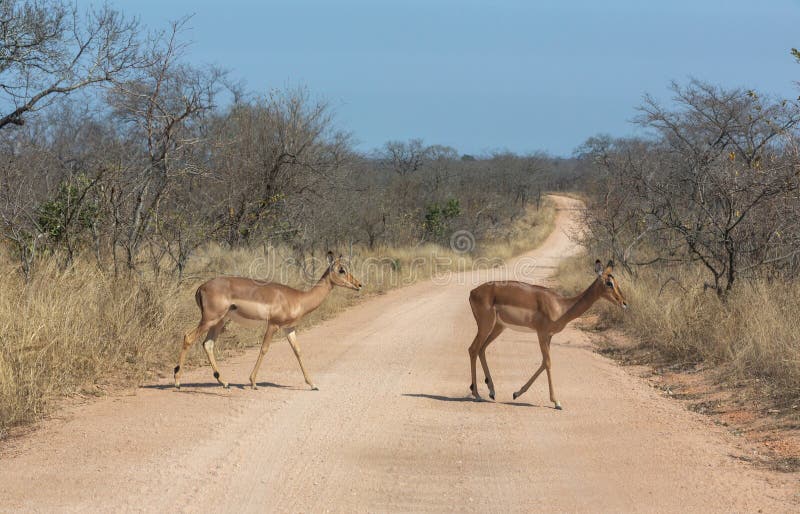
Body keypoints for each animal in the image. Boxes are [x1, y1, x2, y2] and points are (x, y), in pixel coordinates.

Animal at [174, 252, 362, 390]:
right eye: (341, 270)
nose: (359, 285)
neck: (299, 298)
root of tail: (201, 287)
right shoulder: (273, 325)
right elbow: (264, 349)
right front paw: (253, 382)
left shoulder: (289, 329)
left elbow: (298, 351)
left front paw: (313, 384)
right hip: (209, 319)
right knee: (188, 337)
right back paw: (177, 381)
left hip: (219, 321)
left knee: (208, 344)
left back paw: (225, 382)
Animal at [467, 259, 627, 409]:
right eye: (609, 283)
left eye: (616, 281)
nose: (624, 303)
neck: (562, 306)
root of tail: (472, 292)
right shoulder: (542, 334)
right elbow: (548, 363)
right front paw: (557, 402)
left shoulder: (549, 336)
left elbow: (544, 363)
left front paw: (516, 393)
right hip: (486, 325)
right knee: (473, 349)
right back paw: (477, 394)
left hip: (498, 327)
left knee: (482, 349)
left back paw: (491, 391)